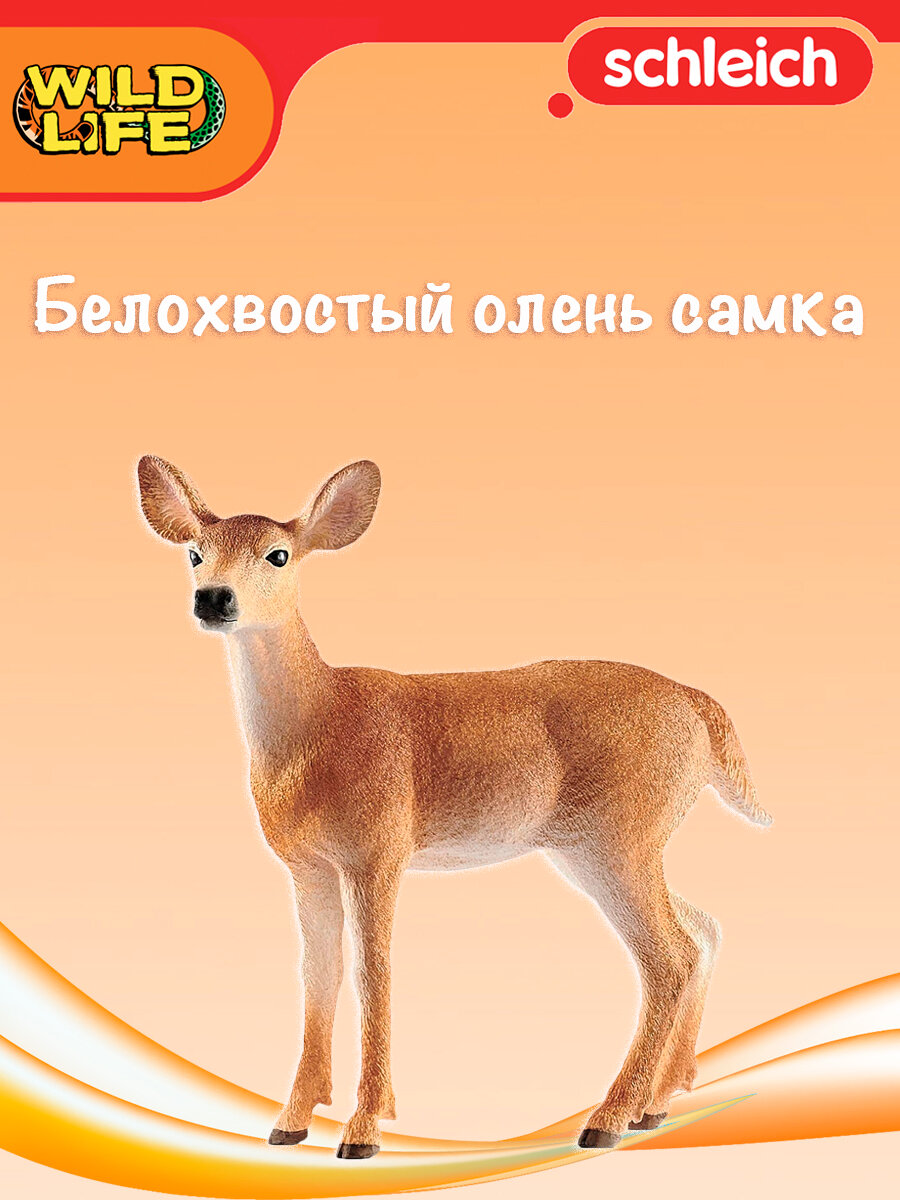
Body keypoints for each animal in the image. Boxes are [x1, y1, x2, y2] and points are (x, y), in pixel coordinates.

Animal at [136, 454, 772, 1160]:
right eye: (195, 552)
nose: (214, 598)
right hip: (600, 848)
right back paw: (655, 1105)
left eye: (278, 554)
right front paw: (290, 1121)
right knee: (703, 928)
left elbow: (373, 973)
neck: (319, 724)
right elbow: (317, 976)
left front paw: (365, 1130)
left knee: (668, 959)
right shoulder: (306, 866)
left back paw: (607, 1119)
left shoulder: (378, 848)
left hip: (622, 836)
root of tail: (700, 708)